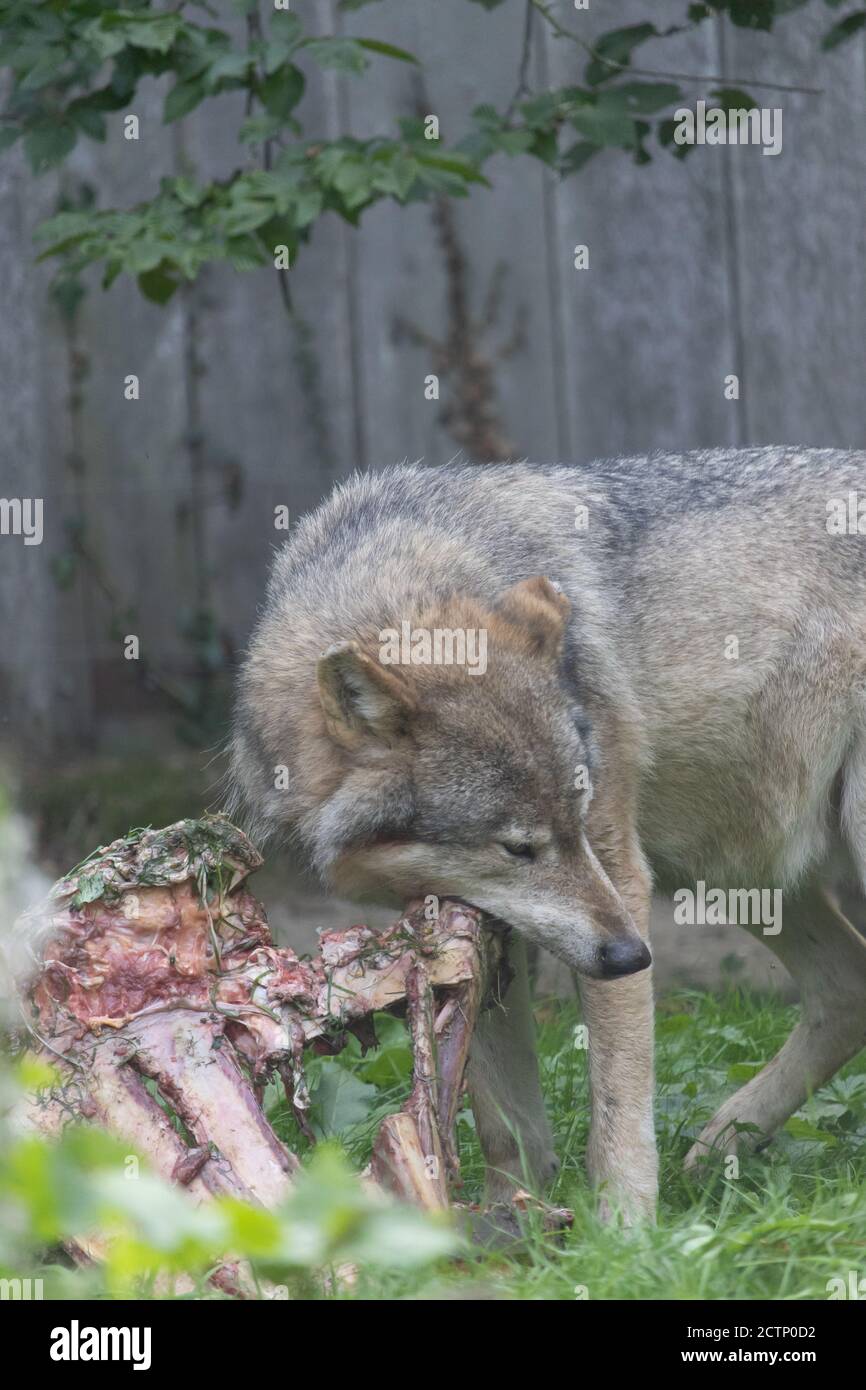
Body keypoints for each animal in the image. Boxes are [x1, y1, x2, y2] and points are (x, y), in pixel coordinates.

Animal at [230, 447, 866, 1222]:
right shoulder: (468, 934)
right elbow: (504, 1124)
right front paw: (514, 1224)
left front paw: (625, 1229)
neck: (406, 569)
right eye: (520, 848)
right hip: (736, 871)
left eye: (578, 824)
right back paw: (721, 1148)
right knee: (848, 989)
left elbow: (618, 1102)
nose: (631, 953)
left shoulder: (620, 872)